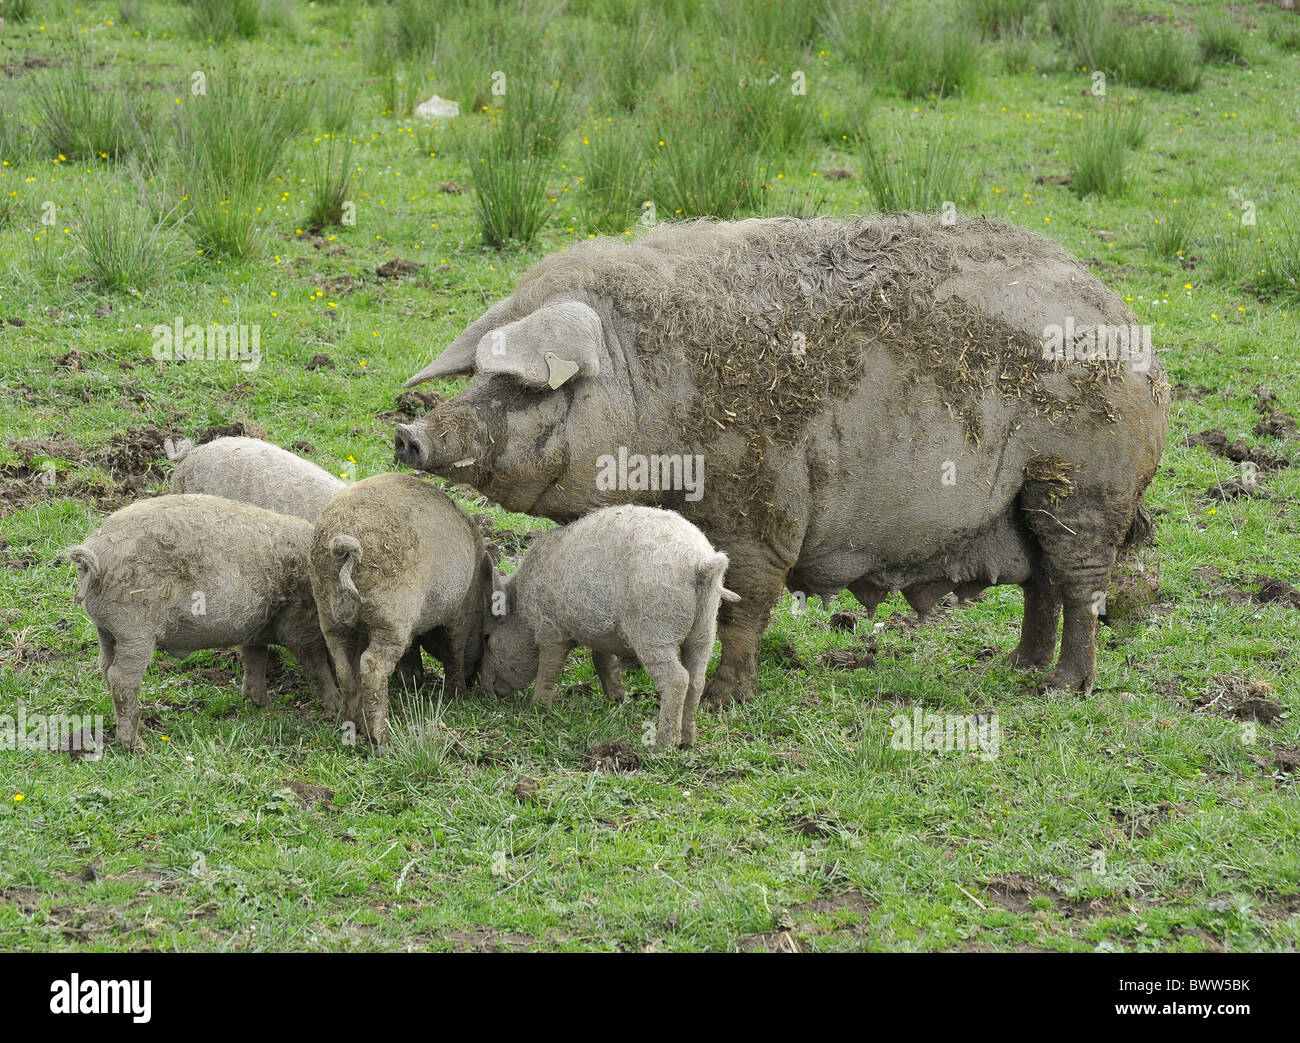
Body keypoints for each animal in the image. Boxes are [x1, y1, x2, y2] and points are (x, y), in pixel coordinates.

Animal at [67, 494, 341, 751]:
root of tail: (94, 554)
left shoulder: (254, 628)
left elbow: (254, 659)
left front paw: (261, 704)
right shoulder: (300, 622)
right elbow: (317, 666)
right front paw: (335, 707)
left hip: (106, 629)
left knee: (105, 667)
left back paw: (143, 728)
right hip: (135, 628)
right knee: (121, 677)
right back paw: (139, 746)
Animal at [308, 473, 492, 748]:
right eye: (484, 636)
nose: (473, 682)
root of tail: (344, 545)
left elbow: (411, 650)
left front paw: (412, 683)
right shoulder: (459, 613)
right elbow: (454, 652)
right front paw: (457, 696)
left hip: (330, 616)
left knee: (344, 666)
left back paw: (353, 726)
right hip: (392, 613)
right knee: (372, 665)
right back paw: (382, 741)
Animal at [395, 214, 1170, 704]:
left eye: (528, 386)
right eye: (480, 374)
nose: (411, 433)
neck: (649, 394)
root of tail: (1134, 329)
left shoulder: (760, 504)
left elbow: (748, 603)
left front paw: (723, 701)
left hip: (1080, 486)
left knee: (1079, 585)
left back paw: (1062, 687)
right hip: (1030, 500)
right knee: (1041, 584)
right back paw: (1017, 667)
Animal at [480, 505, 739, 749]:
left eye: (487, 637)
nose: (487, 691)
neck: (523, 609)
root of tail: (699, 563)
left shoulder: (550, 630)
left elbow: (548, 669)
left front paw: (535, 709)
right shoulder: (601, 634)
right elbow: (602, 660)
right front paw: (618, 699)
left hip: (654, 630)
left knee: (676, 679)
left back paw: (662, 747)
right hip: (705, 629)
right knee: (696, 679)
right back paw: (687, 743)